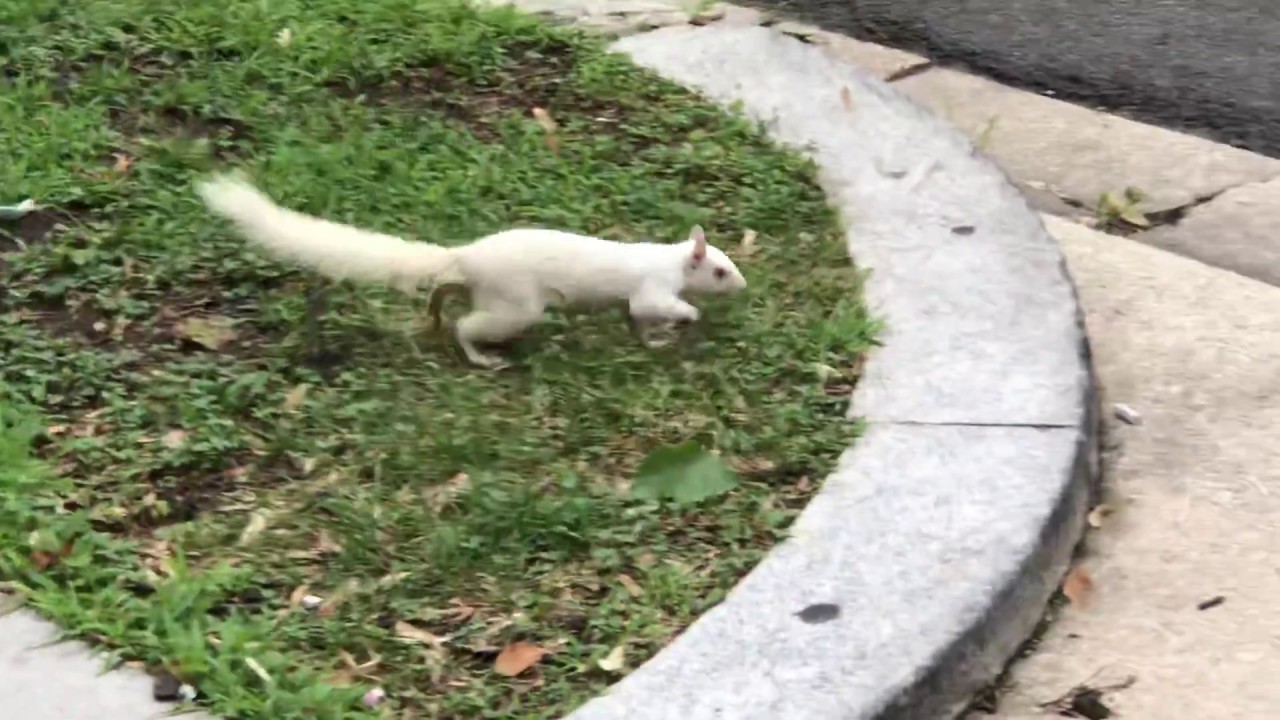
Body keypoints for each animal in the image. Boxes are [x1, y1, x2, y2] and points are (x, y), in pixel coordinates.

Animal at [196, 174, 748, 368]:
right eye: (721, 271)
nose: (743, 285)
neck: (671, 257)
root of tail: (466, 256)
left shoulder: (637, 306)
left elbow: (640, 323)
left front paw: (659, 340)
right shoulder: (651, 287)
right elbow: (652, 306)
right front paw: (690, 319)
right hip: (516, 305)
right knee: (469, 325)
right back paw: (482, 357)